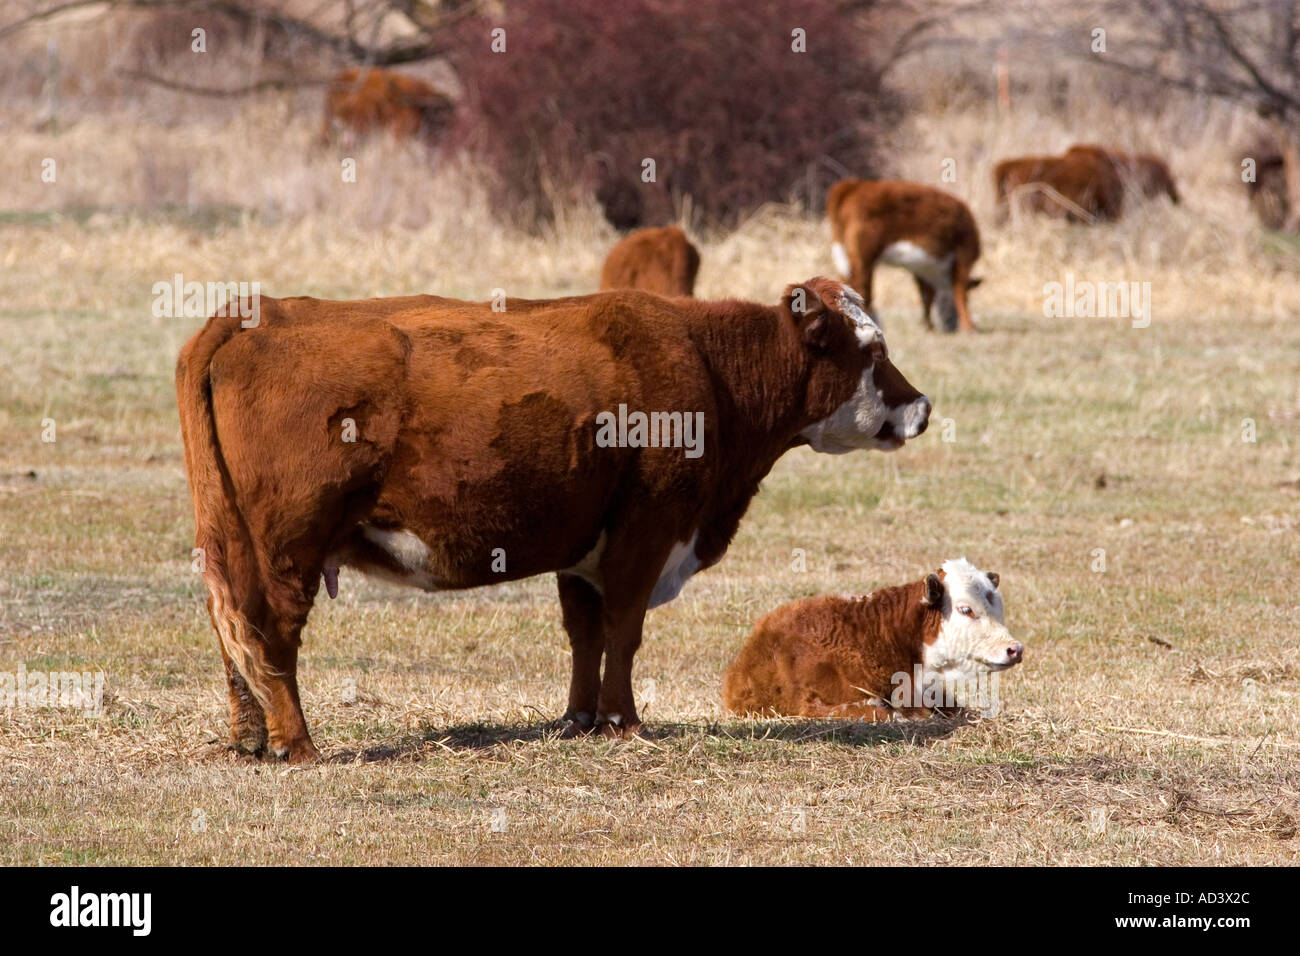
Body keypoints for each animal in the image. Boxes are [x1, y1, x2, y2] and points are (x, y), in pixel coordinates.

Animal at [176, 279, 932, 761]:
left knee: (233, 630)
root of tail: (258, 313)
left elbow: (585, 634)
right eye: (872, 350)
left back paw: (250, 739)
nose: (922, 407)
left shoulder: (584, 544)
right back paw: (299, 744)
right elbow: (623, 631)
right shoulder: (644, 532)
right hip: (289, 545)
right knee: (271, 631)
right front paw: (624, 722)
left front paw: (580, 719)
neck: (707, 367)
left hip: (234, 541)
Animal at [826, 180, 983, 333]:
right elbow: (960, 292)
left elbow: (927, 296)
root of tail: (852, 185)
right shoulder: (965, 253)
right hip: (864, 256)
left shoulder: (922, 267)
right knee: (862, 286)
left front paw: (928, 326)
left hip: (843, 252)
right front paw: (969, 327)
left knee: (845, 282)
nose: (952, 326)